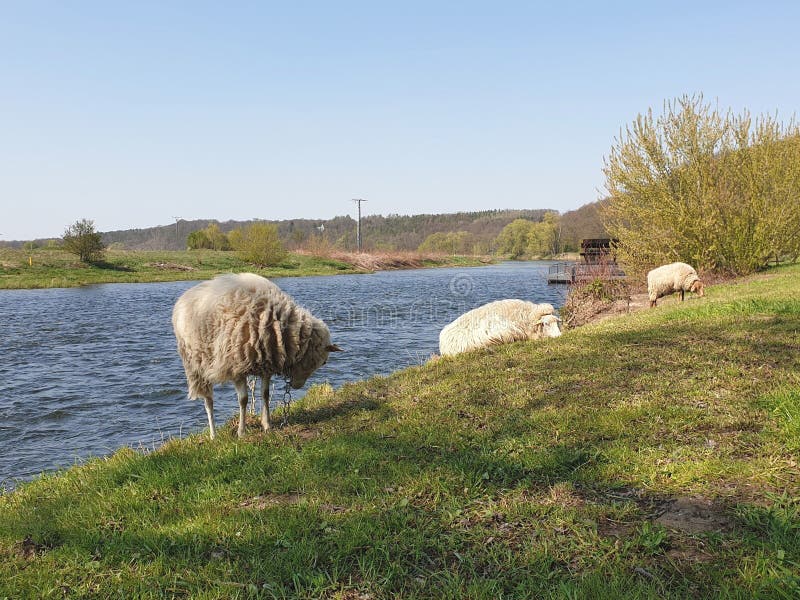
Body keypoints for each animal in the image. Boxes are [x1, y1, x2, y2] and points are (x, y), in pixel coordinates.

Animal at [172, 273, 341, 439]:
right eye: (323, 362)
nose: (296, 386)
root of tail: (186, 296)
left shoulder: (266, 364)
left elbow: (265, 394)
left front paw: (267, 425)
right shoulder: (236, 367)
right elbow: (243, 400)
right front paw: (241, 431)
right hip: (196, 366)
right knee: (208, 401)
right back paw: (213, 435)